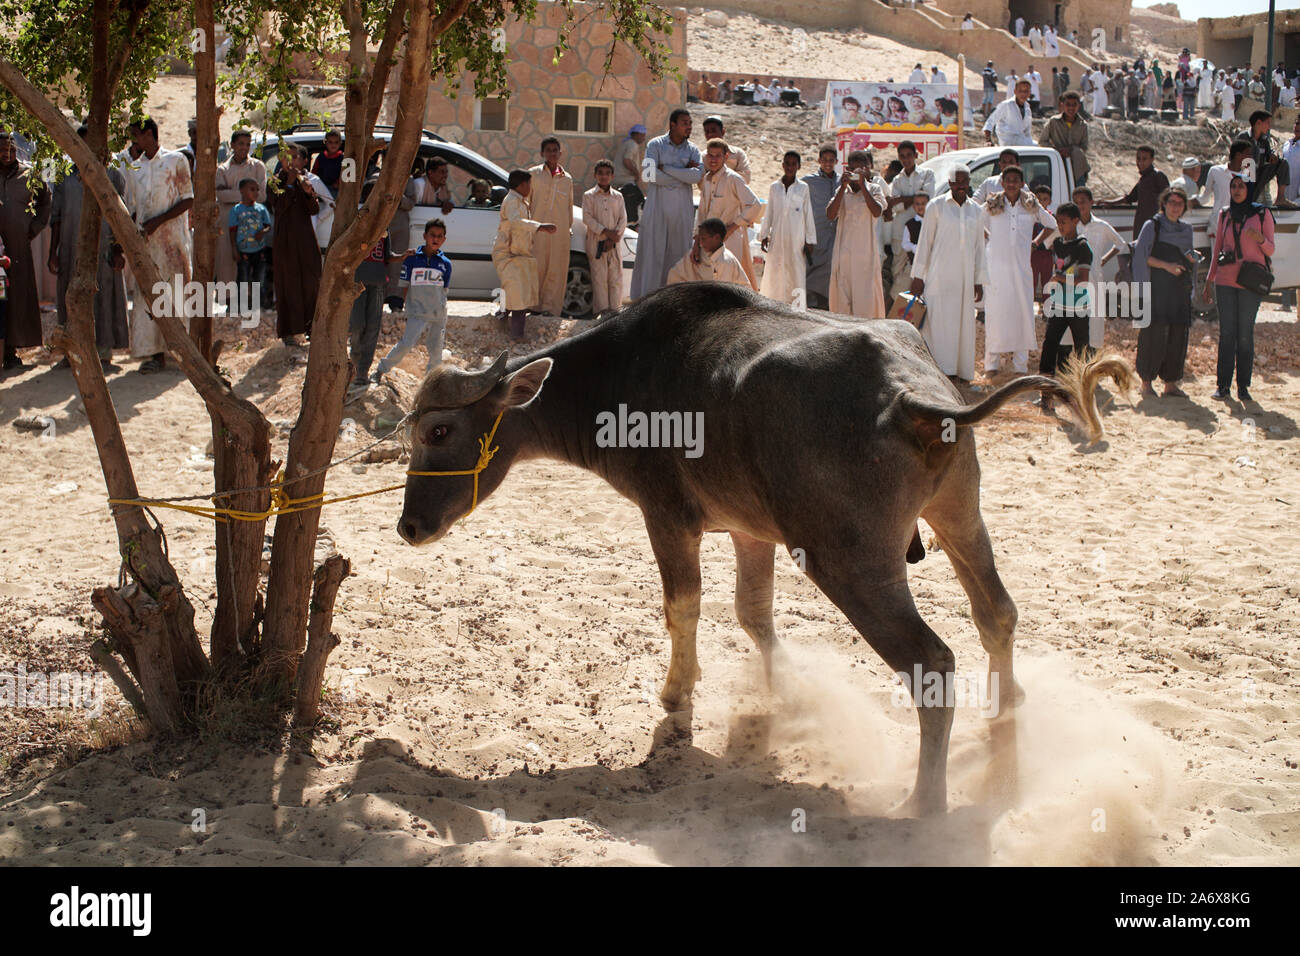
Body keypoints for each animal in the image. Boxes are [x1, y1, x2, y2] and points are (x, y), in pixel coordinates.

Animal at [397, 282, 1132, 815]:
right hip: (960, 518)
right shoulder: (751, 532)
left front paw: (677, 700)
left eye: (438, 431)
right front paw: (784, 697)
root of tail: (916, 401)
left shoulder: (668, 518)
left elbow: (683, 606)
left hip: (852, 564)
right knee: (996, 616)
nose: (408, 527)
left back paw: (923, 804)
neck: (624, 372)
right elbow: (754, 614)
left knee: (931, 663)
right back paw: (1005, 734)